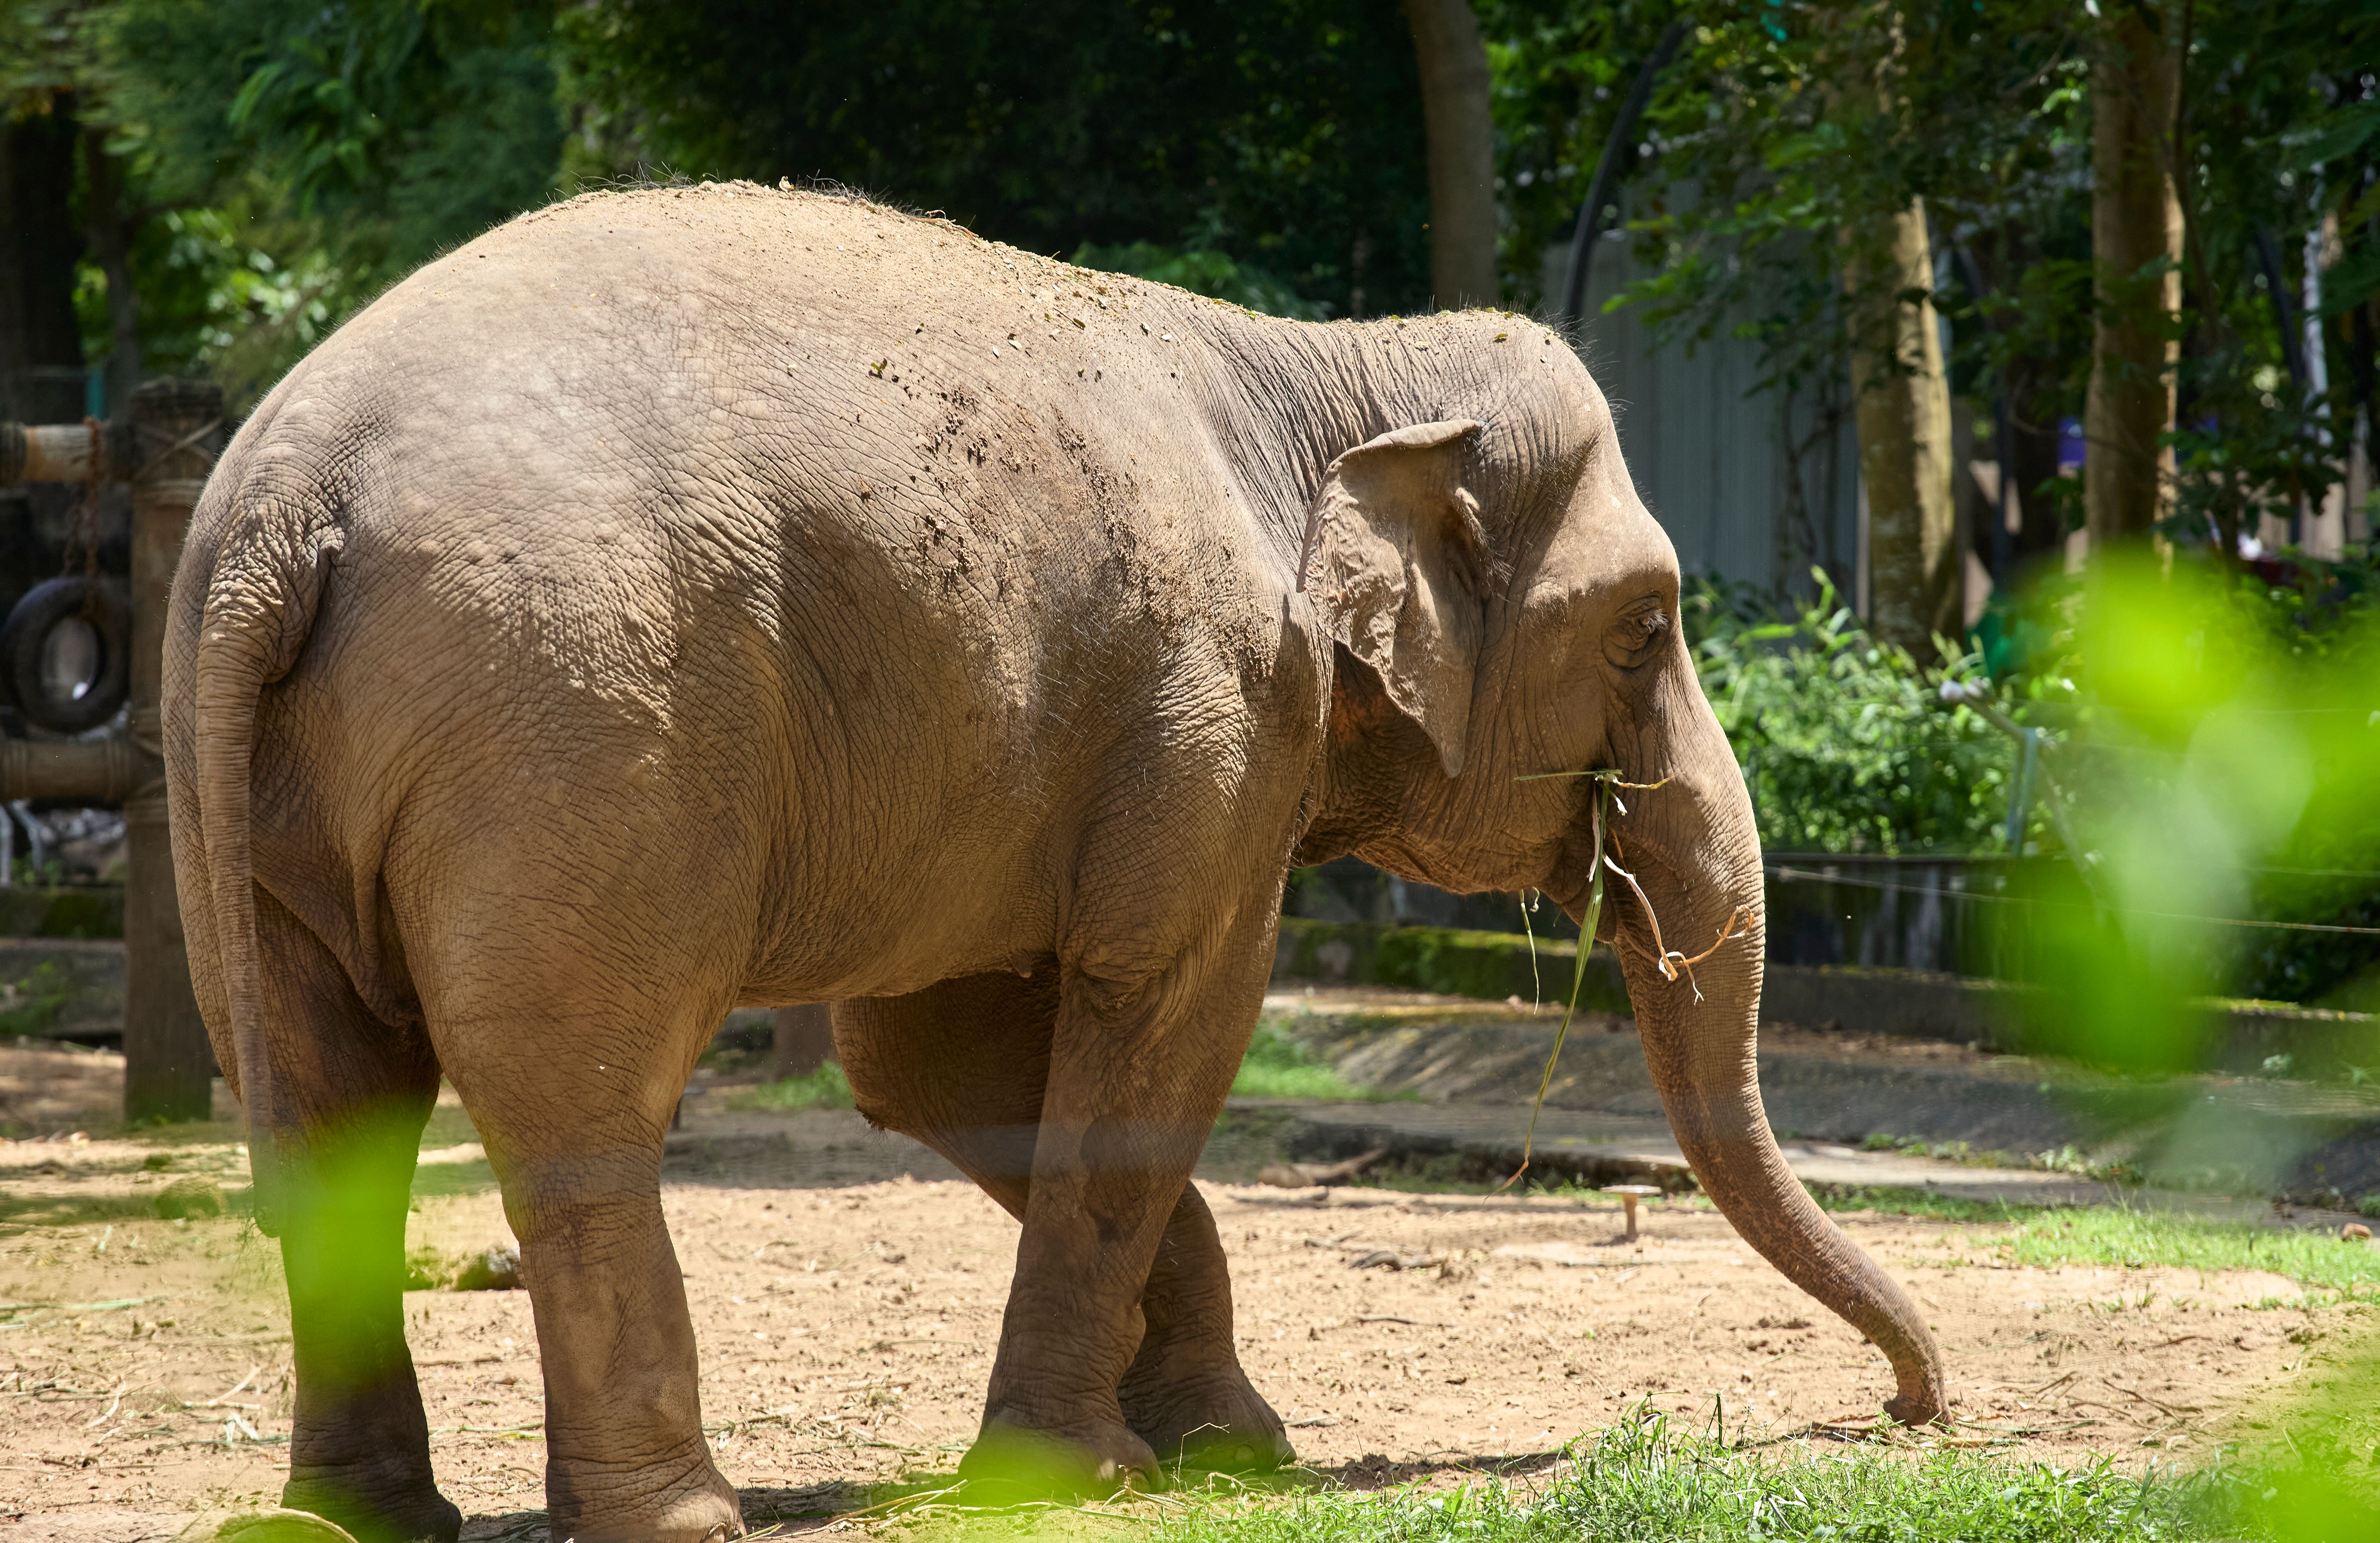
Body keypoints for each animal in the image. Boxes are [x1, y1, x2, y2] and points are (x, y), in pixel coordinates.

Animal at [164, 181, 1947, 1543]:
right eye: (1646, 625)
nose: (1908, 1408)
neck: (1337, 372)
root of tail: (282, 498)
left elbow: (926, 1058)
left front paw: (1231, 1448)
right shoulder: (1221, 709)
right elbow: (1175, 1014)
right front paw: (1081, 1477)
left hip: (253, 781)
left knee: (326, 1103)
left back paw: (352, 1519)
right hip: (576, 727)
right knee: (582, 1105)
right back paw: (679, 1520)